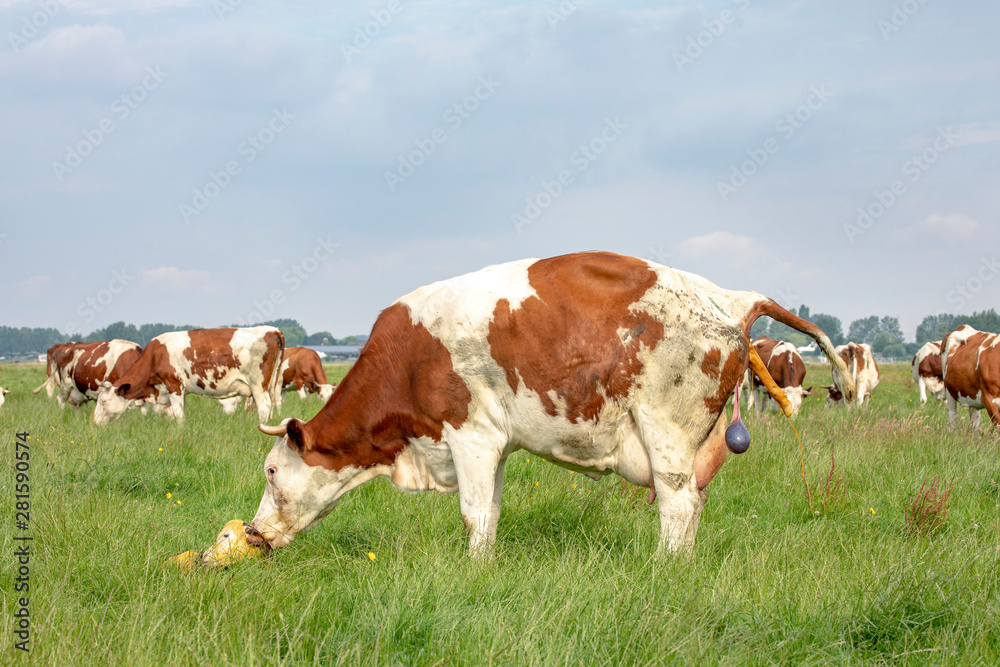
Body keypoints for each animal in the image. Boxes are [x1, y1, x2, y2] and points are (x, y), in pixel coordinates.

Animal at [93, 326, 285, 424]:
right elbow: (182, 412)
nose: (94, 422)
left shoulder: (173, 384)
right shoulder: (181, 389)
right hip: (271, 383)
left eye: (103, 401)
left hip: (258, 384)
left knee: (264, 406)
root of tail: (272, 330)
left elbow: (177, 413)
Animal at [246, 252, 854, 558]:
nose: (250, 532)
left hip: (665, 433)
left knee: (677, 505)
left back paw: (661, 570)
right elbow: (490, 513)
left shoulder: (469, 435)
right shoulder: (495, 443)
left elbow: (472, 513)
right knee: (693, 509)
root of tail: (727, 296)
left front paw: (472, 571)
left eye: (272, 471)